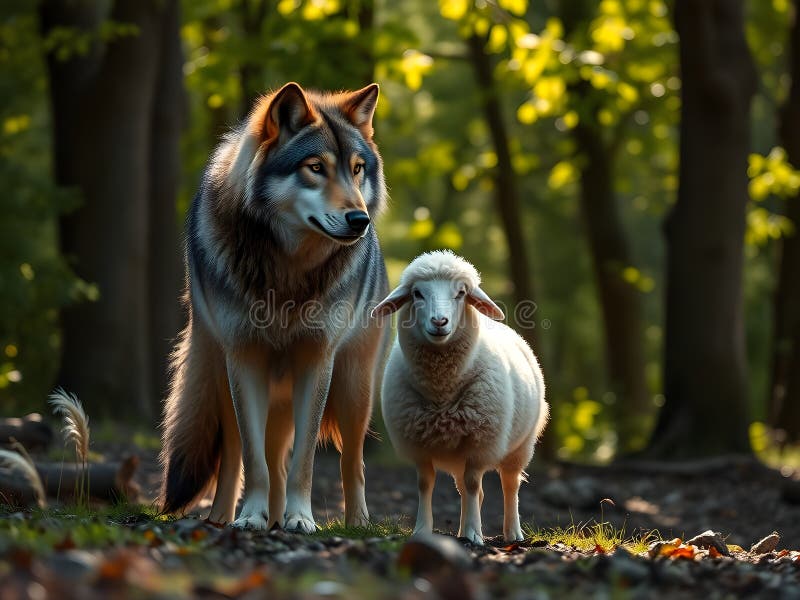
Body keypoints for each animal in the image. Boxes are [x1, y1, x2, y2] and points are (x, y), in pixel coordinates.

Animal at [160, 82, 390, 532]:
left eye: (357, 169)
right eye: (315, 167)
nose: (360, 220)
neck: (288, 268)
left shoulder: (317, 360)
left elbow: (304, 460)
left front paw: (301, 518)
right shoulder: (244, 358)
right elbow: (254, 460)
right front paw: (251, 516)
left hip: (354, 388)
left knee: (352, 463)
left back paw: (355, 522)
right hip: (225, 379)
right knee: (239, 457)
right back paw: (226, 517)